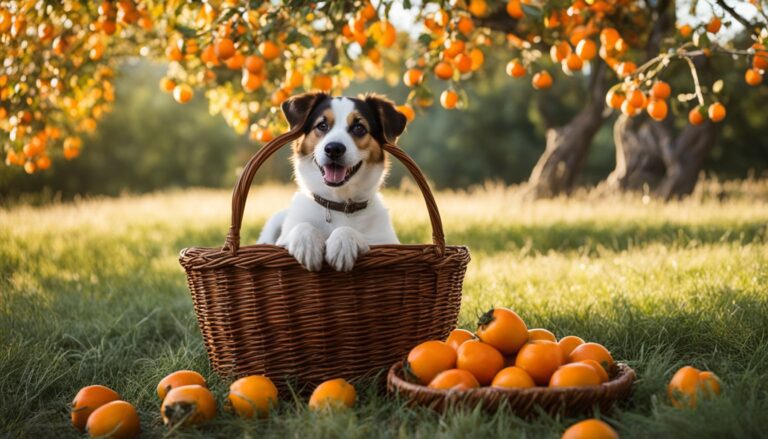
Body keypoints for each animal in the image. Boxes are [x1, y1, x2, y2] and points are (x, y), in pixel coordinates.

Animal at [258, 92, 408, 272]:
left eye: (359, 128)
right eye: (322, 125)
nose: (334, 149)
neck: (338, 204)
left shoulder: (383, 241)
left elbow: (349, 230)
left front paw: (342, 243)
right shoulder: (285, 236)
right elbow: (302, 226)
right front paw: (307, 244)